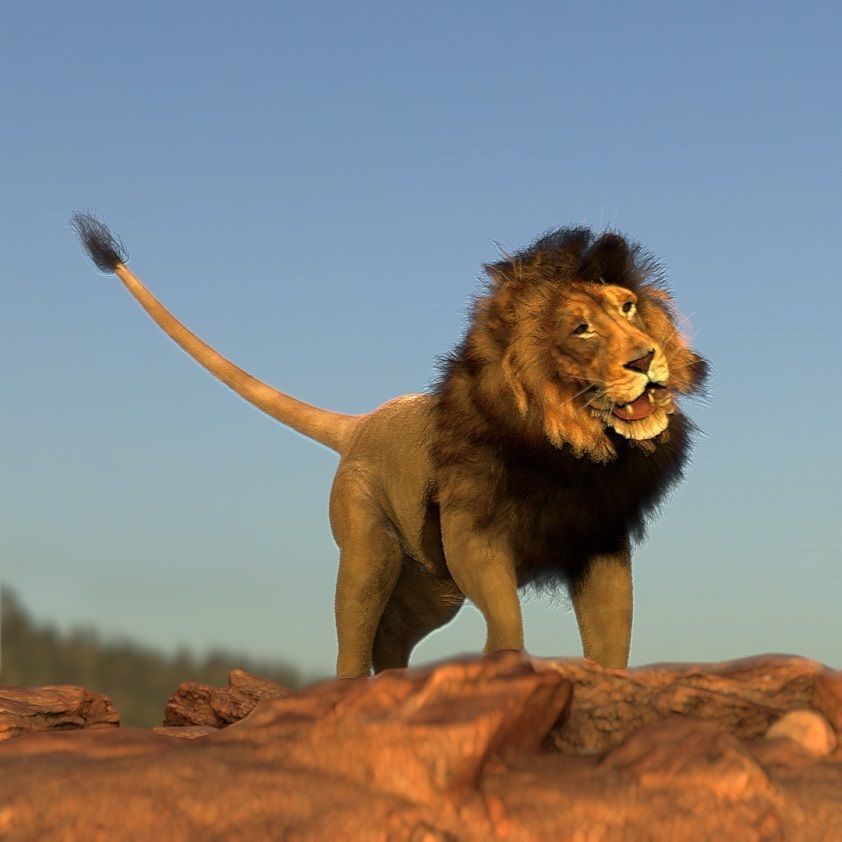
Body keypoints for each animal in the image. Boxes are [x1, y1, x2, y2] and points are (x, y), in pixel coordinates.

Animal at [73, 214, 708, 678]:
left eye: (628, 307)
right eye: (581, 329)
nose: (646, 359)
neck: (567, 452)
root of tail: (361, 424)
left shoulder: (599, 543)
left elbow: (613, 637)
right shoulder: (475, 537)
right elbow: (507, 621)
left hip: (433, 584)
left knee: (392, 638)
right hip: (369, 550)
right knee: (354, 642)